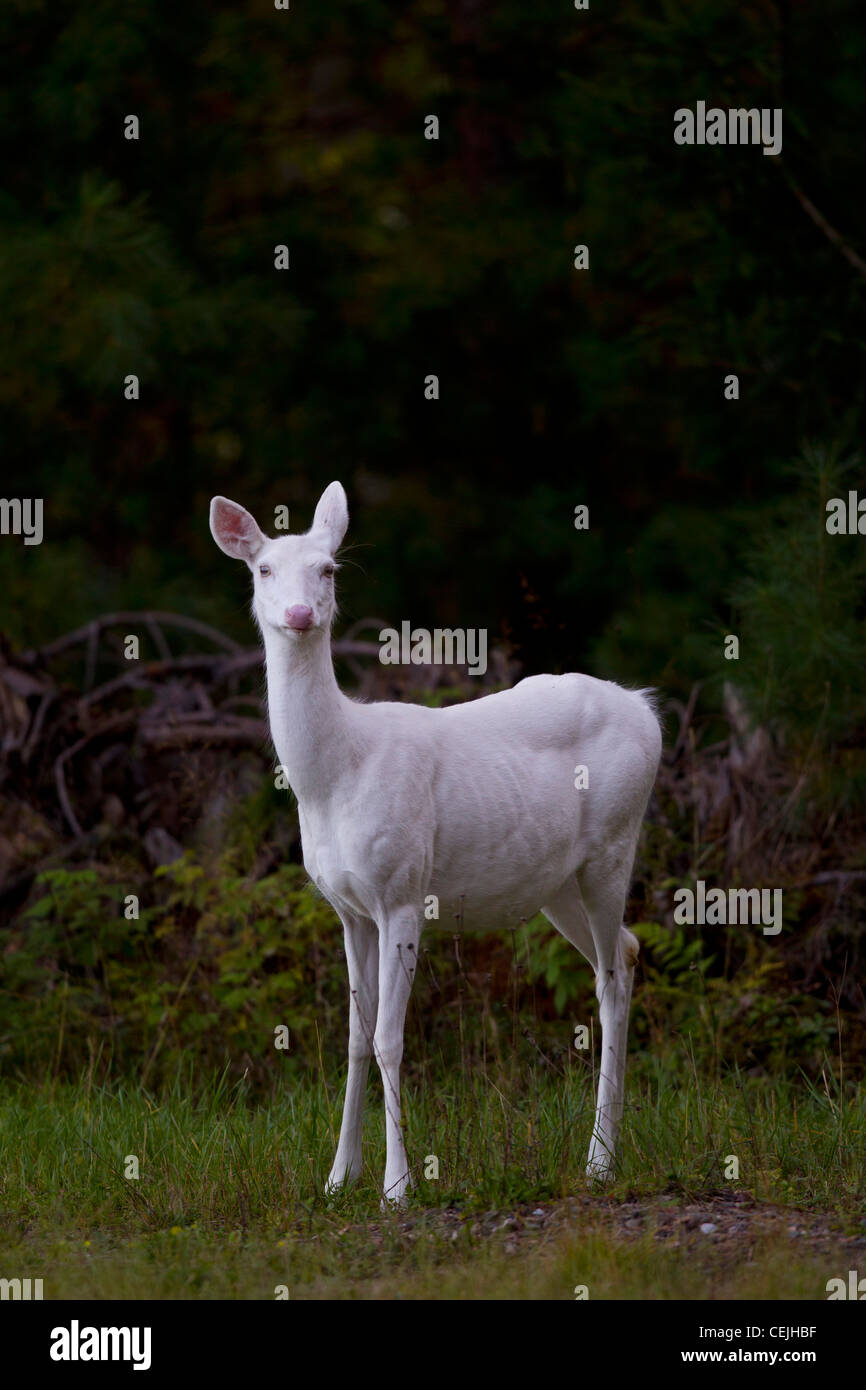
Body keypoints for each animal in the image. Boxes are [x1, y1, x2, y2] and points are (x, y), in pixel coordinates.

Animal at [210, 482, 661, 1205]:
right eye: (264, 570)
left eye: (328, 569)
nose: (302, 614)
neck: (336, 775)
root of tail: (647, 710)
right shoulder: (348, 909)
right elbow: (355, 1038)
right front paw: (337, 1178)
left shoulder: (401, 889)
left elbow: (391, 1039)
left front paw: (397, 1186)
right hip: (557, 881)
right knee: (626, 947)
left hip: (614, 845)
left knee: (610, 979)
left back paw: (599, 1160)